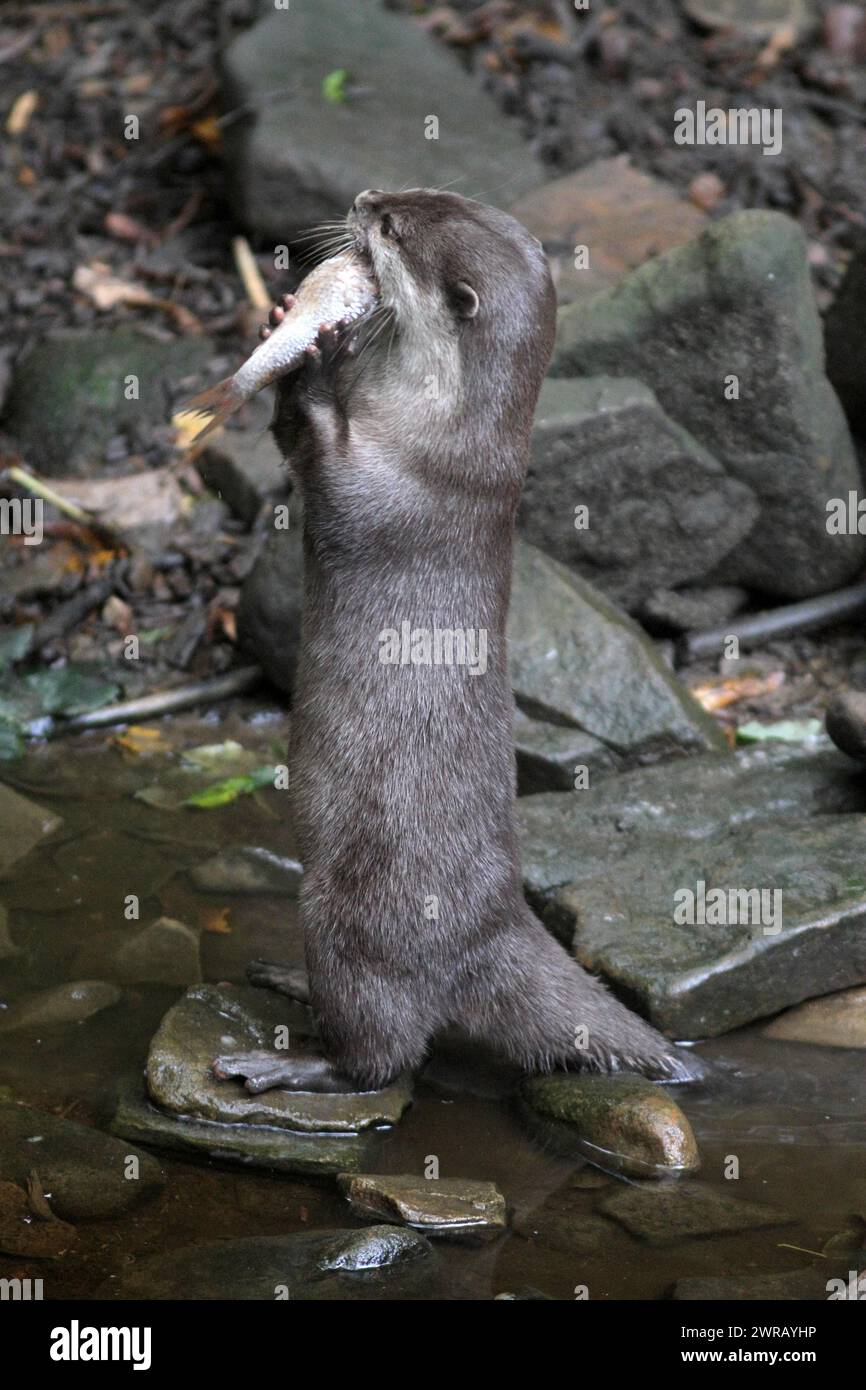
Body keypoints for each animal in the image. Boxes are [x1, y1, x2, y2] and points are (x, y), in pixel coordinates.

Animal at [214, 189, 701, 1094]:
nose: (364, 198)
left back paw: (285, 1061)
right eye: (409, 197)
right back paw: (285, 982)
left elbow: (325, 463)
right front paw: (281, 319)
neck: (439, 426)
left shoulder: (405, 486)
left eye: (394, 230)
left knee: (384, 1053)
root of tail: (496, 929)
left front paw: (319, 357)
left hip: (341, 914)